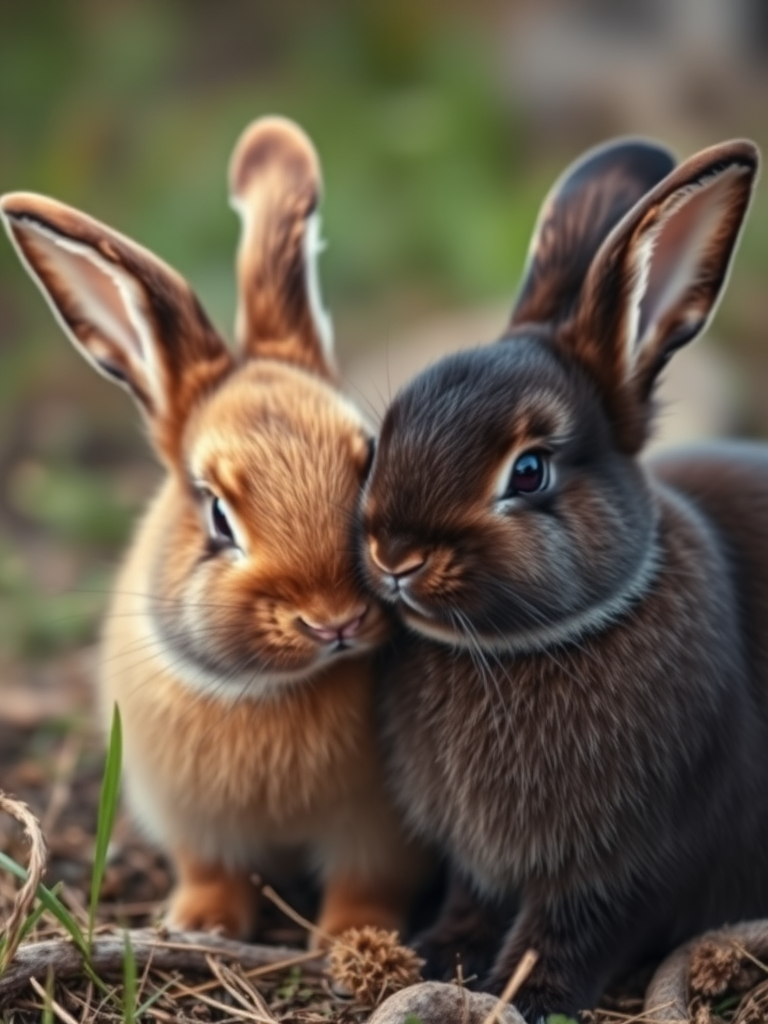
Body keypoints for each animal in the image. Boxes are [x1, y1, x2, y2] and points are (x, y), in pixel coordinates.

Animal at [1, 115, 428, 942]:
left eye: (369, 460)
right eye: (217, 516)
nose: (335, 621)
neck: (277, 690)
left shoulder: (374, 832)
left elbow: (366, 883)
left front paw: (351, 938)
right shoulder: (195, 825)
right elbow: (212, 870)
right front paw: (201, 925)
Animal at [357, 136, 768, 1020]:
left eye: (530, 471)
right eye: (383, 437)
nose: (393, 555)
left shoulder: (631, 862)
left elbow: (574, 929)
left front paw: (529, 992)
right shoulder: (479, 862)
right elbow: (474, 902)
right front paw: (441, 956)